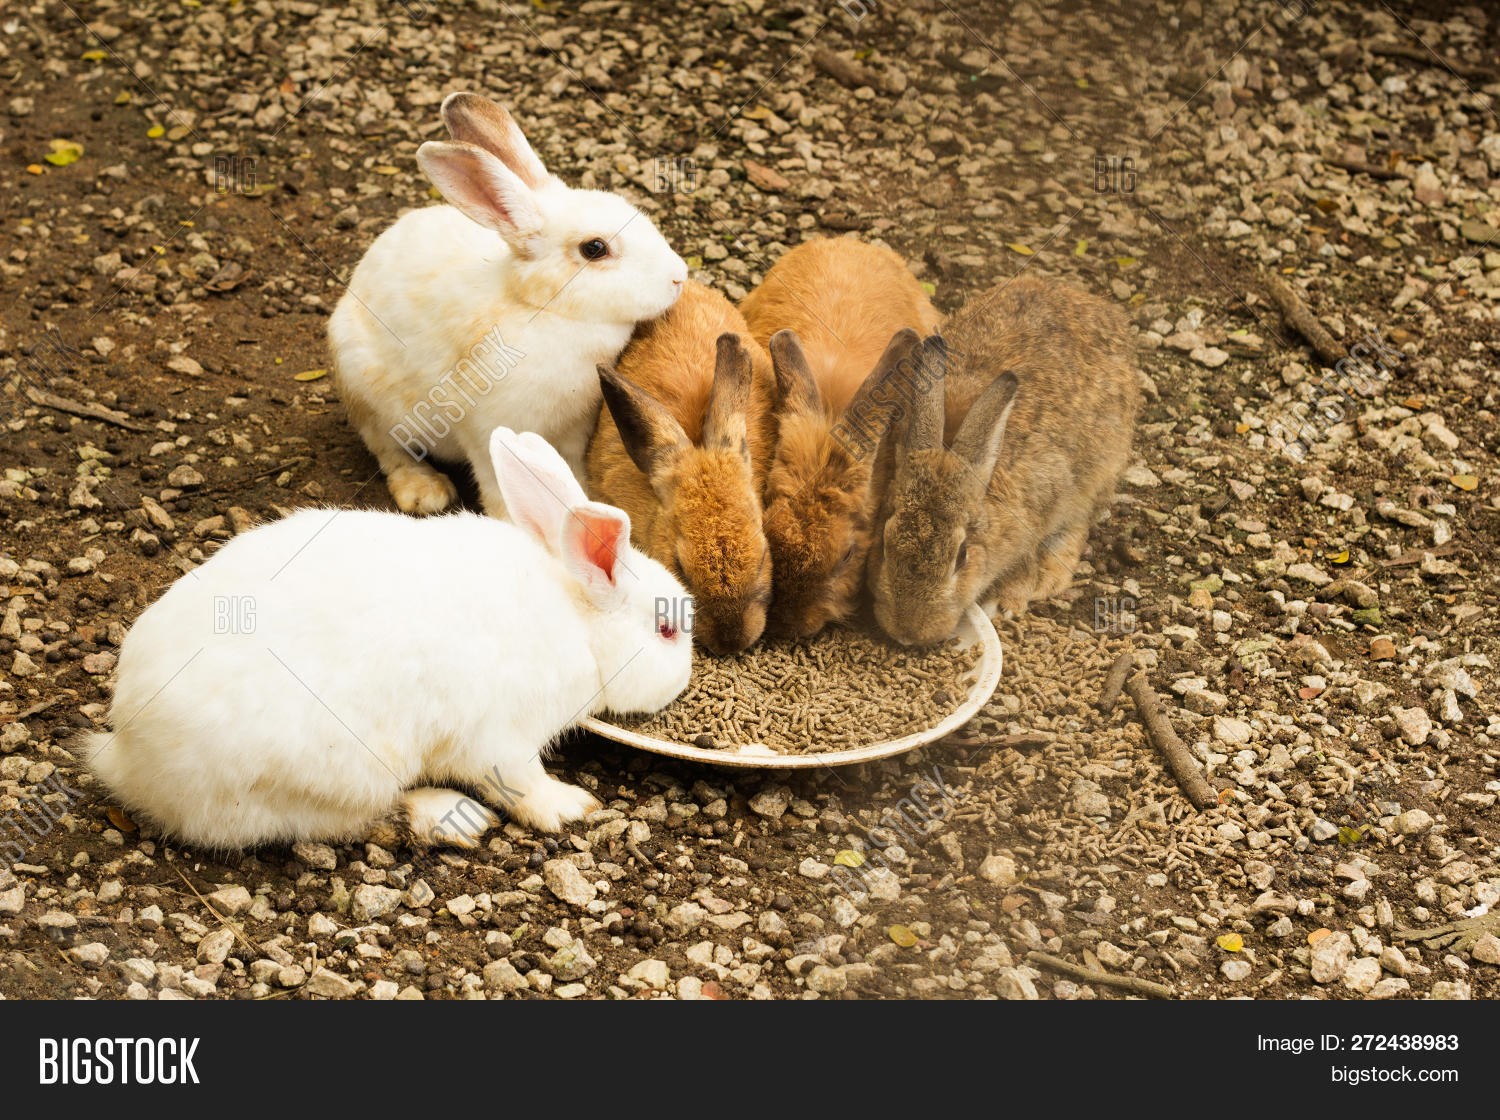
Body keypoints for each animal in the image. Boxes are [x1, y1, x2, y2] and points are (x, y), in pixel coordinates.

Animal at [82, 427, 693, 851]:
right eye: (666, 630)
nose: (684, 681)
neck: (577, 620)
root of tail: (131, 760)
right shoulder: (501, 738)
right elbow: (520, 781)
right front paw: (570, 807)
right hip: (334, 776)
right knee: (341, 820)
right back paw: (450, 817)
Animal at [328, 91, 688, 519]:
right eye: (595, 248)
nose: (679, 276)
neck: (544, 310)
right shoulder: (488, 432)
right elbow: (498, 484)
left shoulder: (573, 430)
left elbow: (570, 469)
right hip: (366, 389)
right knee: (387, 447)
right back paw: (424, 490)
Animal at [866, 275, 1141, 646]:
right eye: (884, 542)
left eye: (962, 556)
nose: (908, 633)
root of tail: (1095, 304)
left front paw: (1005, 603)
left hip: (1098, 472)